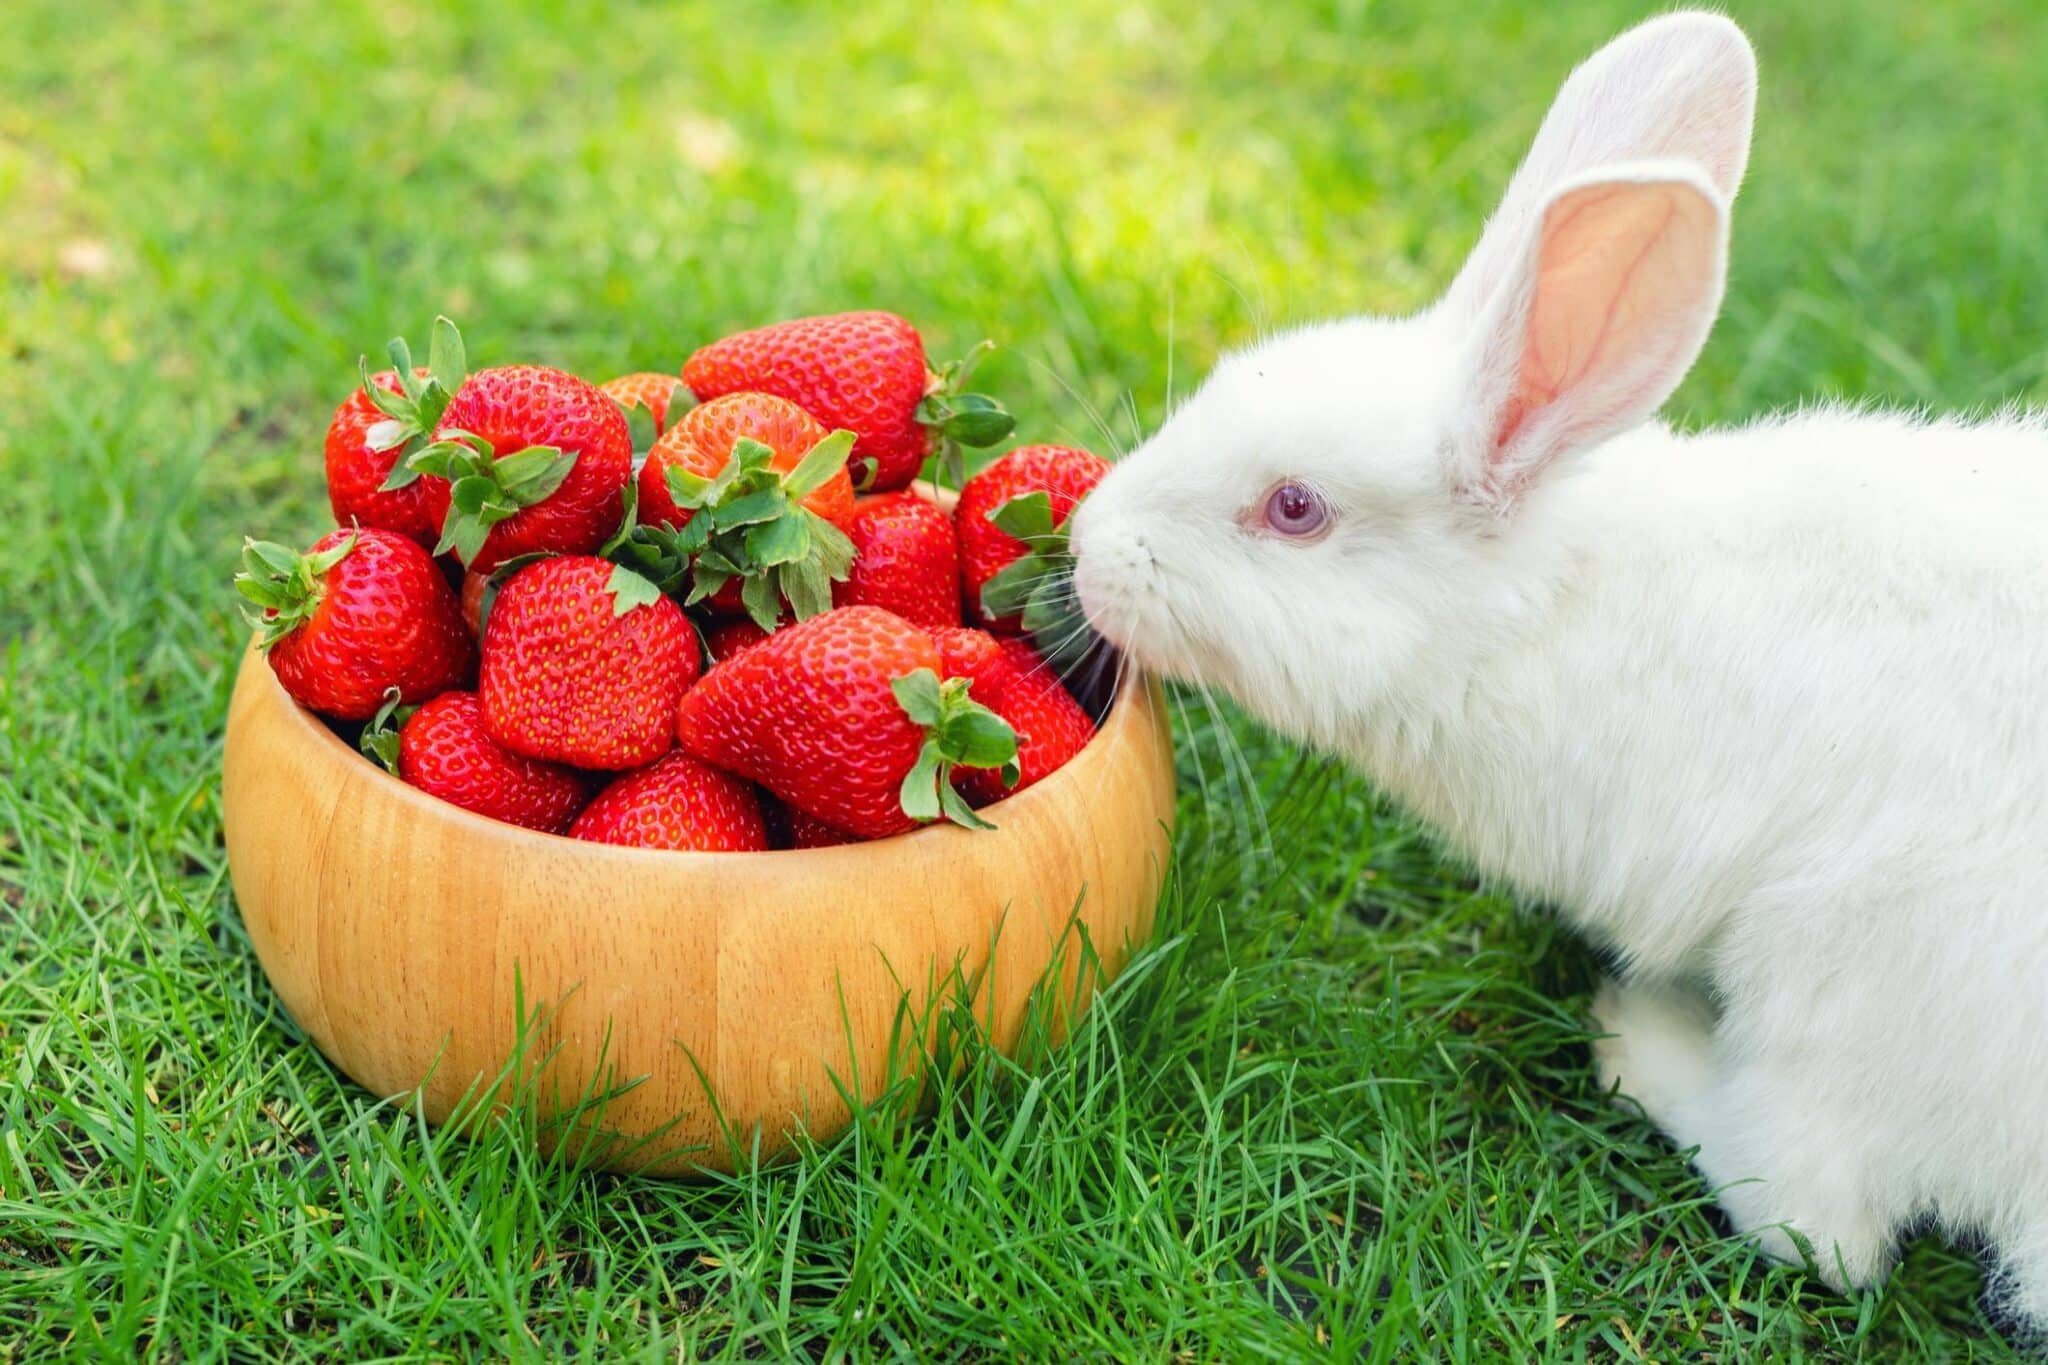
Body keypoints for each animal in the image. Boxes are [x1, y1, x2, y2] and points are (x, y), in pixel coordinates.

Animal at [1069, 9, 2048, 1322]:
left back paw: (1640, 1043)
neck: (1547, 618)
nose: (1085, 546)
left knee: (1805, 1209)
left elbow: (1816, 1222)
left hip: (1838, 969)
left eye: (1293, 509)